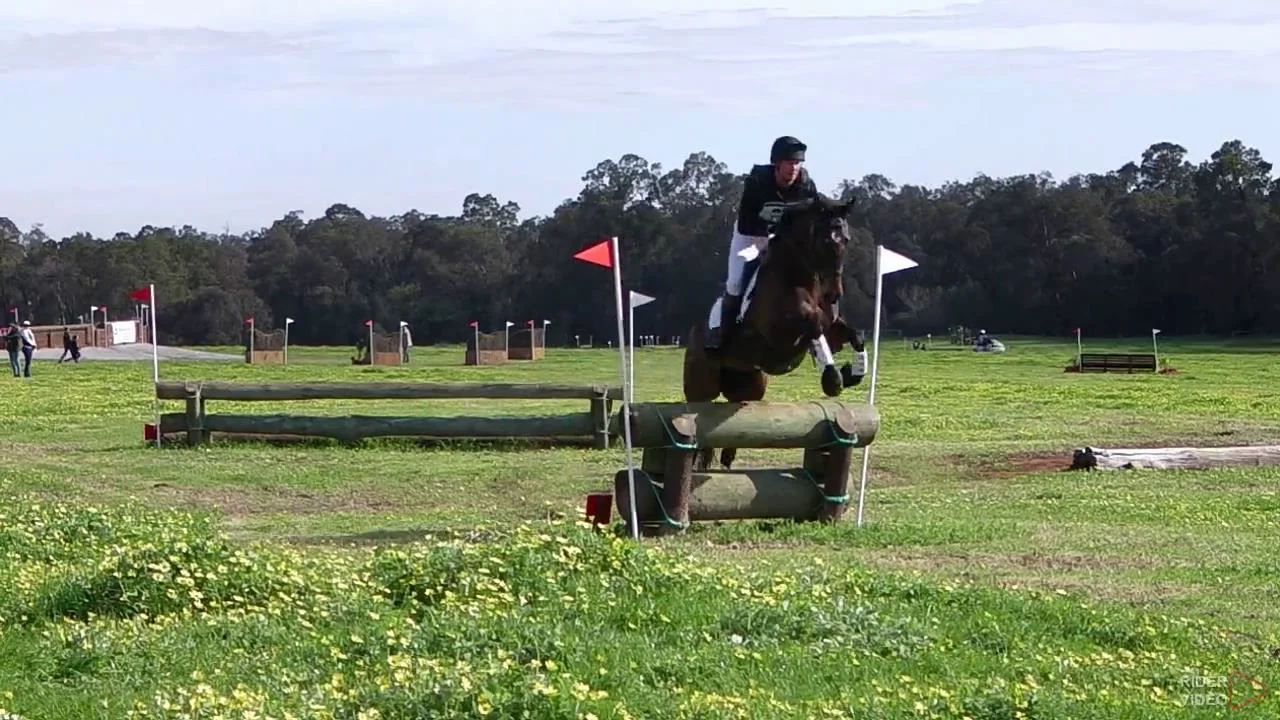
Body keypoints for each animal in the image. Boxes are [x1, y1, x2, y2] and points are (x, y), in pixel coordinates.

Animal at [682, 195, 866, 471]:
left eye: (845, 239)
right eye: (825, 240)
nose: (835, 294)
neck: (797, 276)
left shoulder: (832, 328)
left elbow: (854, 336)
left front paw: (853, 372)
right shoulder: (779, 335)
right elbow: (814, 326)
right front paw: (833, 378)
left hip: (750, 387)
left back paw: (728, 457)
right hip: (701, 387)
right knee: (699, 410)